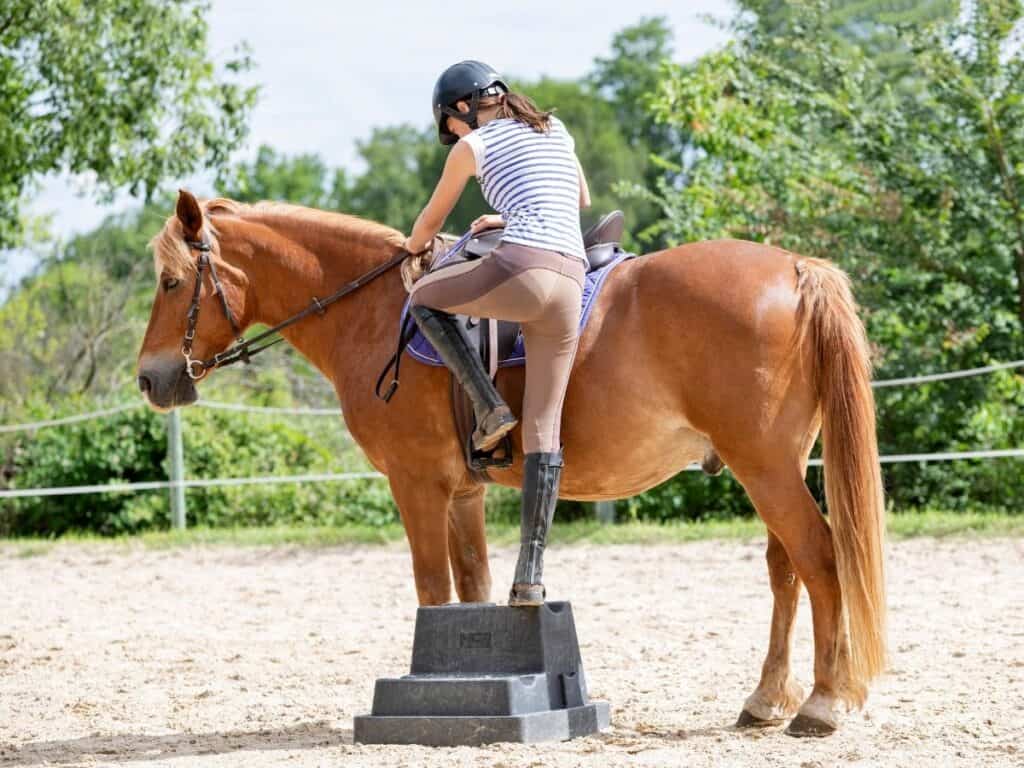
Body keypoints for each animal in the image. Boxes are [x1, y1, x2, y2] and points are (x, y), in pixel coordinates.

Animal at [137, 189, 886, 737]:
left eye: (173, 282)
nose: (150, 378)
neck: (376, 309)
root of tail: (794, 268)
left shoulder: (416, 486)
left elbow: (432, 590)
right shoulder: (462, 494)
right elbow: (472, 585)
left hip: (764, 467)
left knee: (820, 559)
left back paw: (820, 703)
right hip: (773, 467)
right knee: (786, 570)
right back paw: (766, 698)